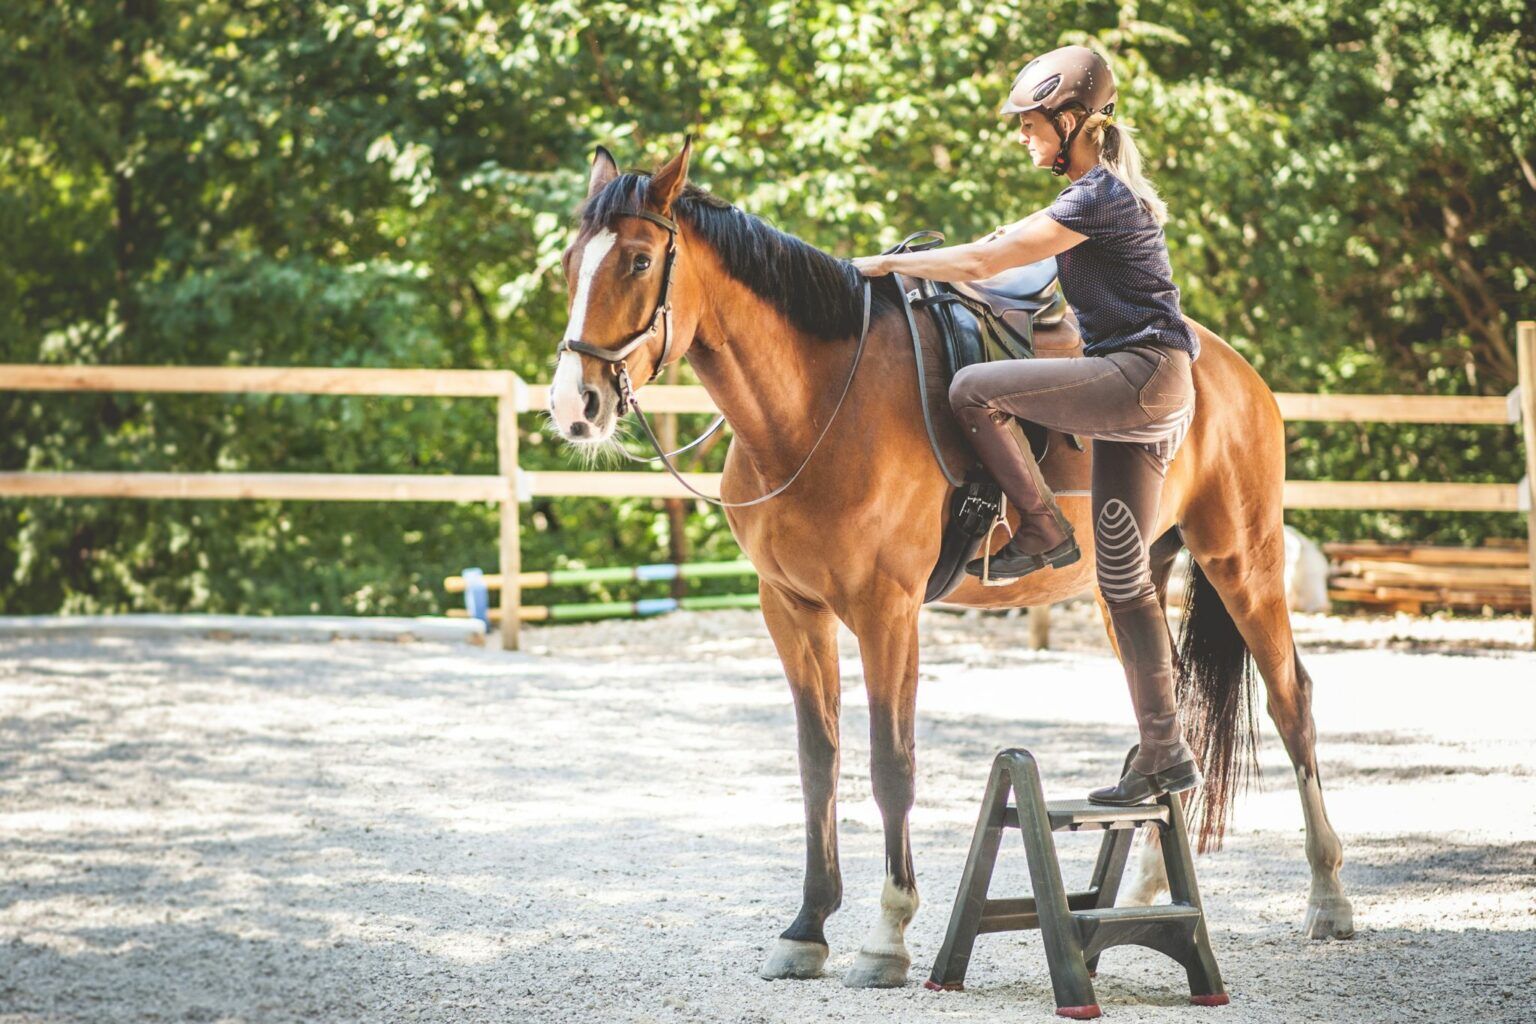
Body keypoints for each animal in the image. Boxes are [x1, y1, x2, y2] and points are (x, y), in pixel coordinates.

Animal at [545, 137, 1355, 989]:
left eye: (638, 261)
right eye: (570, 264)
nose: (575, 406)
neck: (816, 407)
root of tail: (1227, 367)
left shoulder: (886, 611)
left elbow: (890, 764)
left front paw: (886, 935)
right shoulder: (790, 608)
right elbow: (818, 761)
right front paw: (807, 928)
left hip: (1243, 562)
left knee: (1291, 701)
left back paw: (1328, 897)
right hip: (1129, 575)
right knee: (1165, 696)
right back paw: (1149, 881)